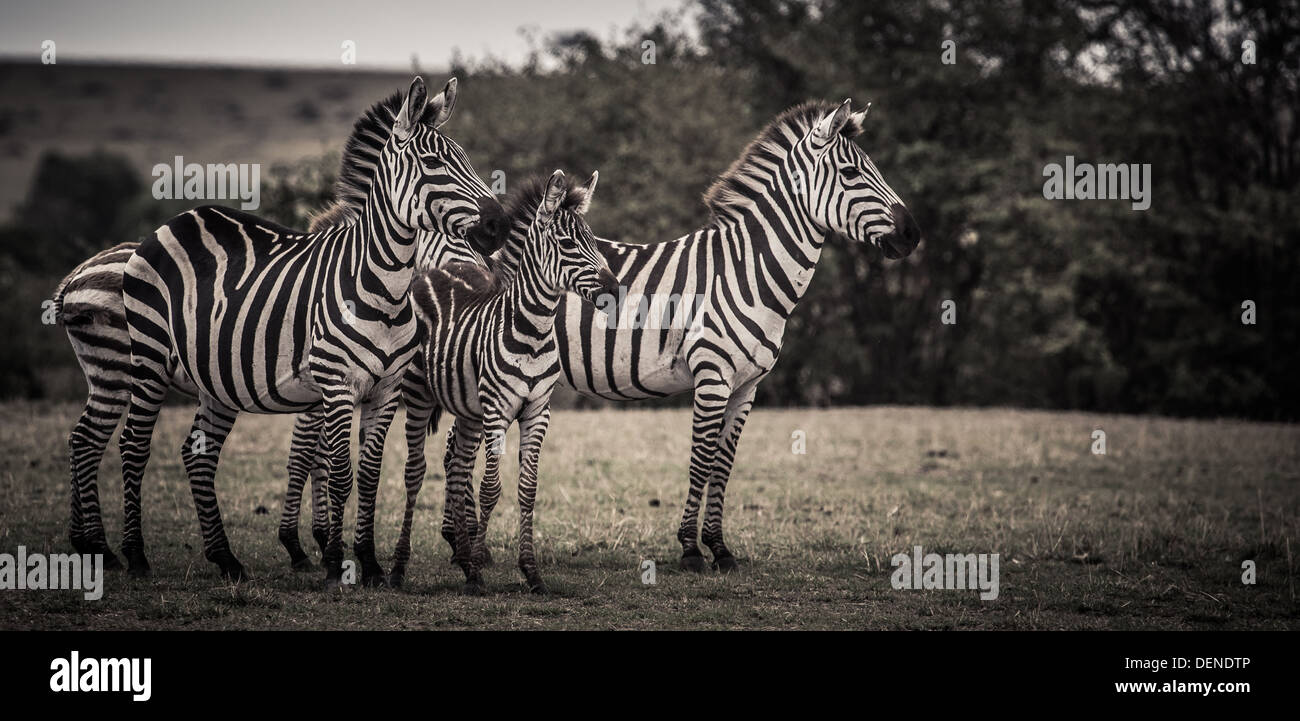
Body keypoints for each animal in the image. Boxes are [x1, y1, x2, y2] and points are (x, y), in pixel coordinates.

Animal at [115, 75, 507, 585]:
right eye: (433, 162)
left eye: (464, 157)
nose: (499, 227)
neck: (382, 288)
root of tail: (176, 220)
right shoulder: (336, 384)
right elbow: (338, 471)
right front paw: (335, 562)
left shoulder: (386, 389)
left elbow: (369, 474)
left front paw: (369, 563)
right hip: (148, 359)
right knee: (134, 444)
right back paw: (136, 555)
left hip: (214, 379)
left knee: (198, 456)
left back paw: (227, 560)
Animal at [408, 169, 617, 593]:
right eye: (568, 243)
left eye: (593, 240)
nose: (614, 287)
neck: (533, 331)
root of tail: (439, 269)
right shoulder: (497, 410)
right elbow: (490, 489)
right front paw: (479, 569)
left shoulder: (538, 411)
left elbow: (527, 489)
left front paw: (530, 571)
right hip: (417, 390)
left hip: (467, 407)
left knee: (457, 466)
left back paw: (462, 551)